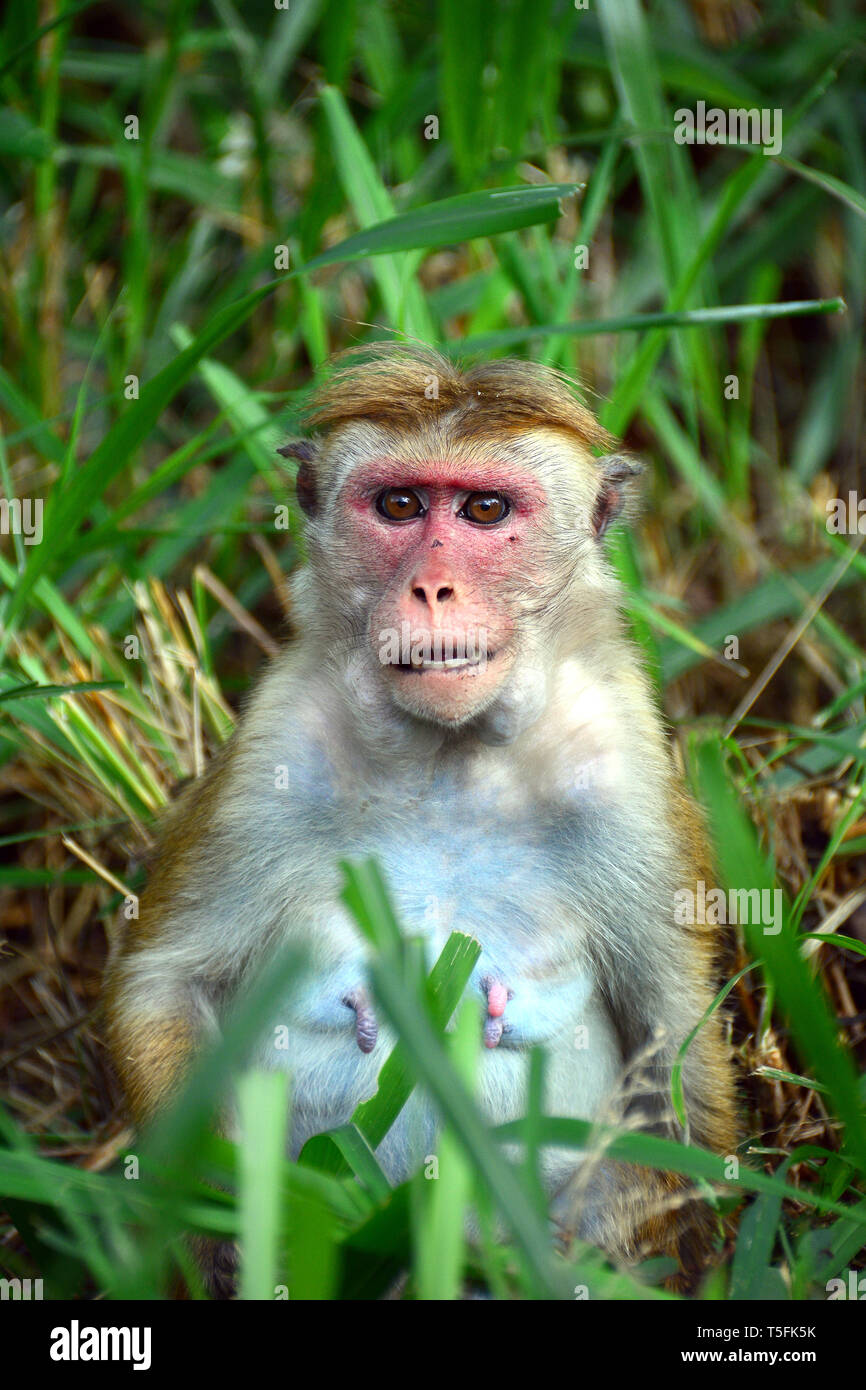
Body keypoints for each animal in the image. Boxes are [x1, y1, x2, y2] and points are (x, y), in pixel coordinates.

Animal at [103, 343, 737, 1292]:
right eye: (398, 505)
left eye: (485, 510)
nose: (432, 588)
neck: (449, 755)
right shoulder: (273, 752)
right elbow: (166, 983)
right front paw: (229, 1234)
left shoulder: (625, 778)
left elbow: (674, 1047)